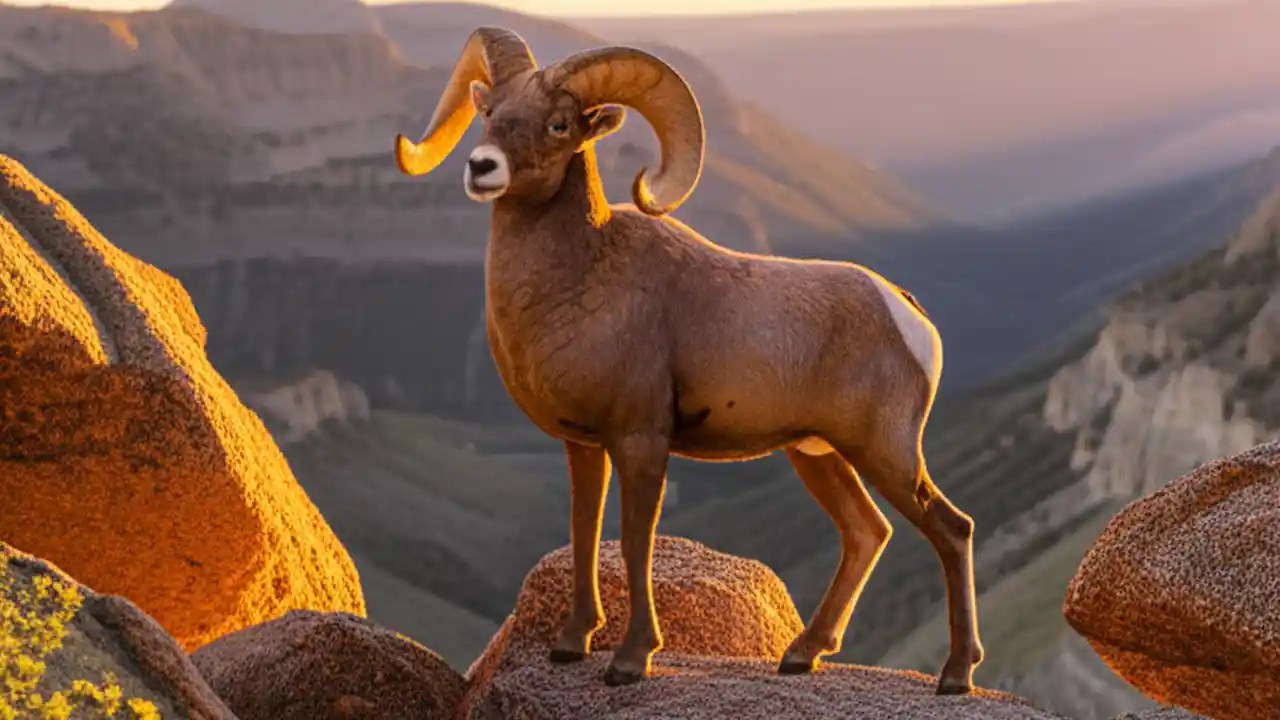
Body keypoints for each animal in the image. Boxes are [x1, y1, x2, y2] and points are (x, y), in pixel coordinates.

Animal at [394, 27, 984, 694]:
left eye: (558, 124)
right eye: (490, 111)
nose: (481, 167)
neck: (578, 282)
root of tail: (908, 315)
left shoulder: (641, 442)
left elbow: (634, 541)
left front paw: (631, 661)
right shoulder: (583, 445)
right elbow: (583, 531)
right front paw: (571, 644)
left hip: (885, 453)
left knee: (952, 529)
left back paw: (955, 675)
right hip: (820, 456)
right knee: (867, 532)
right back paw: (802, 655)